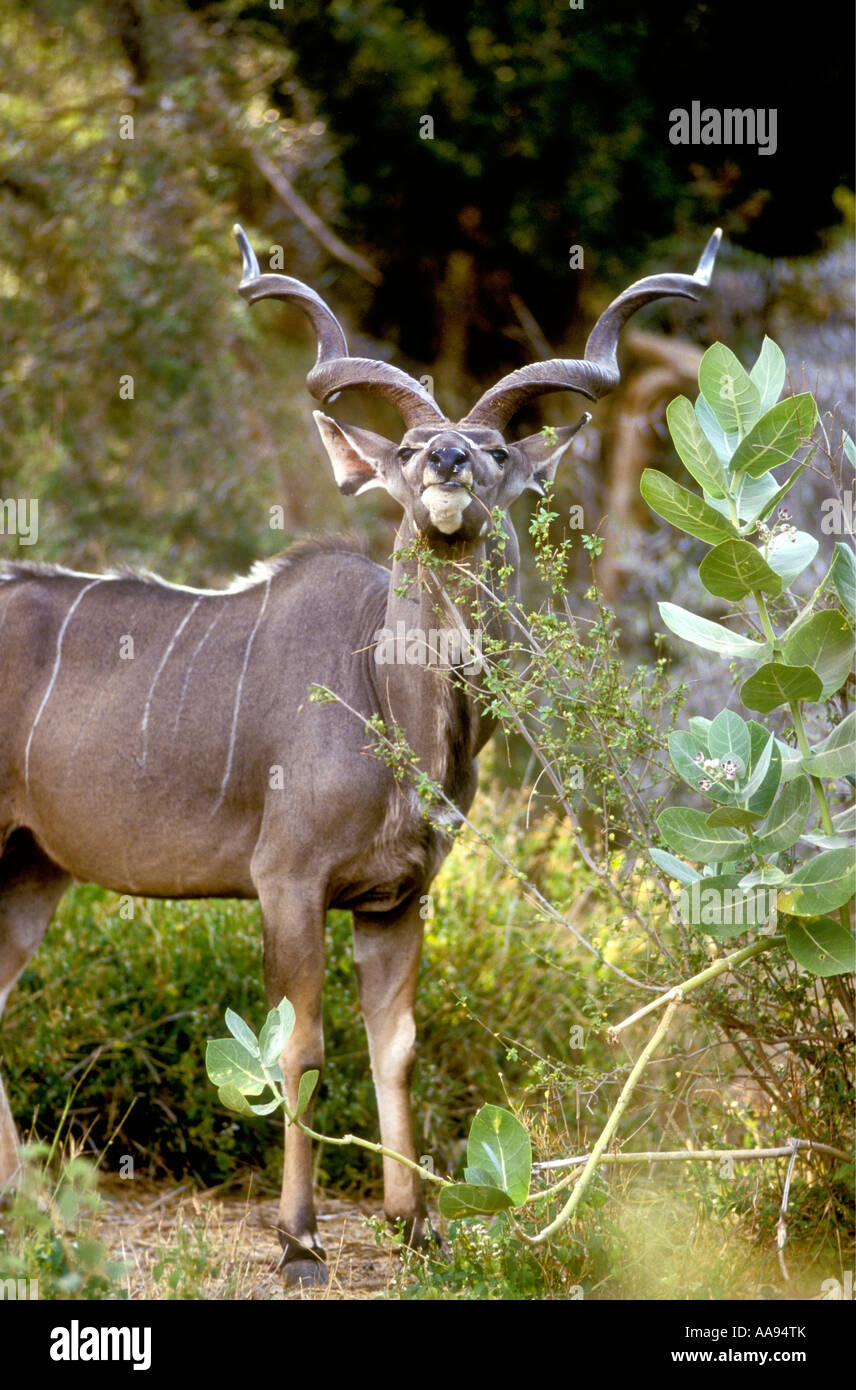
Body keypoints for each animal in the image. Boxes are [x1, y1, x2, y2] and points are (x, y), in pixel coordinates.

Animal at [0, 226, 719, 1284]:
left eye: (496, 450)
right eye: (413, 449)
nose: (450, 463)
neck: (394, 705)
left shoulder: (396, 898)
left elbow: (399, 1046)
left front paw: (415, 1225)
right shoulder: (288, 881)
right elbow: (300, 1048)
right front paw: (299, 1241)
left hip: (32, 867)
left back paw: (37, 1210)